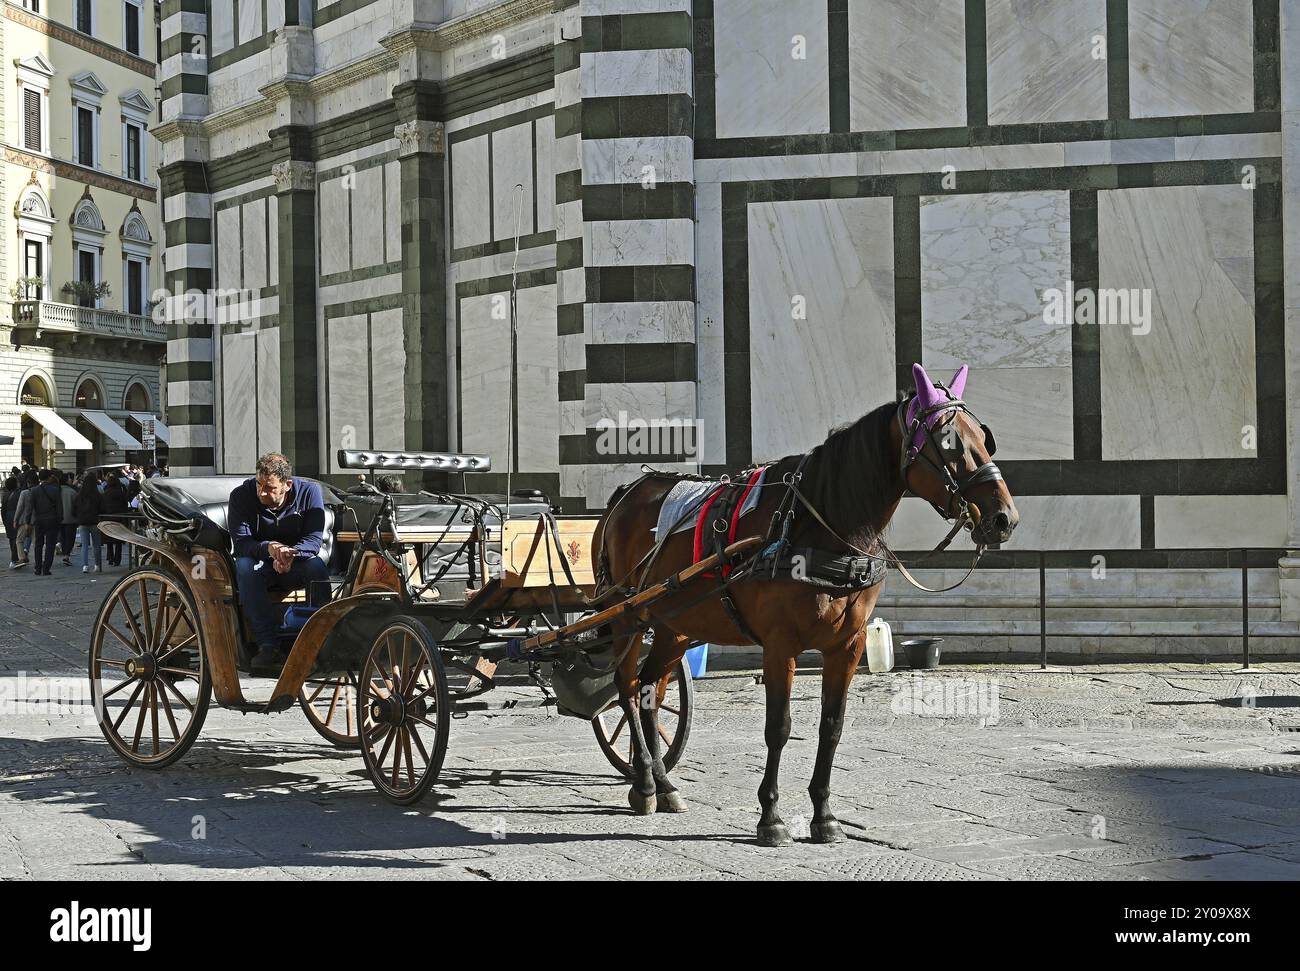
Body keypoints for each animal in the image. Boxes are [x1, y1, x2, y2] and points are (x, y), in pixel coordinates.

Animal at [589, 363, 1020, 846]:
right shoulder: (780, 646)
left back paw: (664, 785)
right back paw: (645, 781)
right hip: (627, 616)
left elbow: (831, 727)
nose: (1004, 517)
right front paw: (771, 818)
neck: (823, 526)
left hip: (674, 624)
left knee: (652, 690)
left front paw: (824, 816)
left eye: (985, 438)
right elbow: (779, 728)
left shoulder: (847, 646)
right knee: (627, 688)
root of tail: (628, 490)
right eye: (950, 443)